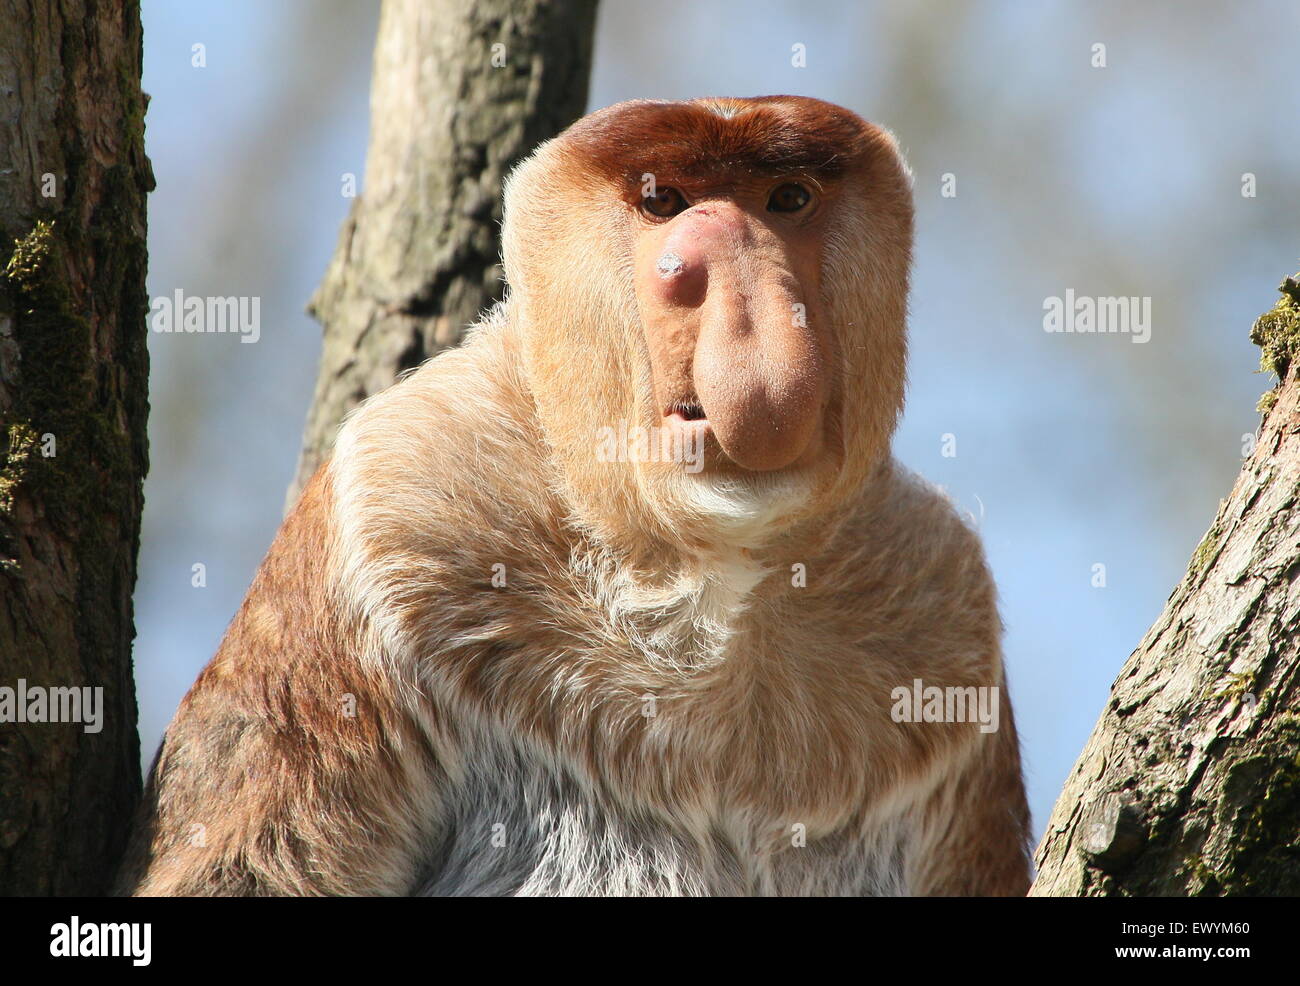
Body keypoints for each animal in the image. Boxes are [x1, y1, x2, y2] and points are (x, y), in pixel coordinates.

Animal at [117, 96, 1032, 897]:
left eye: (788, 200)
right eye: (663, 202)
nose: (721, 277)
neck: (707, 562)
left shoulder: (947, 598)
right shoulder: (393, 492)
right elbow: (253, 864)